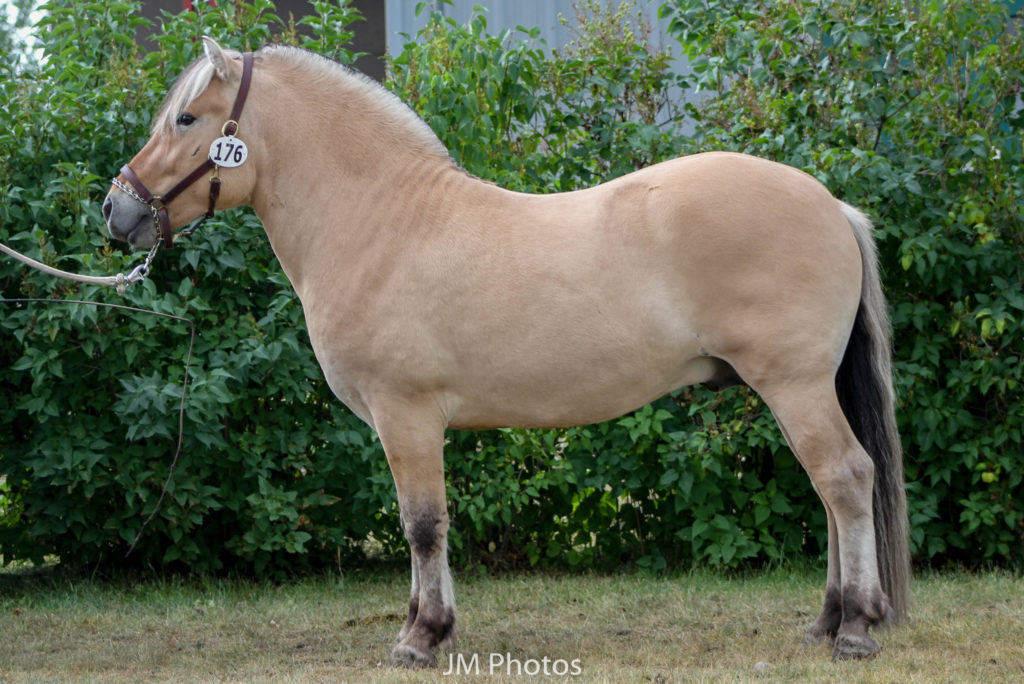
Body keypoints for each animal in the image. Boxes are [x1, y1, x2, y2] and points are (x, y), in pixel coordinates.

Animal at [103, 37, 911, 666]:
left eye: (186, 117)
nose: (117, 210)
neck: (382, 221)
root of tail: (832, 206)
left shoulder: (408, 417)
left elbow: (422, 524)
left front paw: (421, 638)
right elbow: (422, 526)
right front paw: (423, 624)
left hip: (796, 386)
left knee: (845, 480)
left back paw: (856, 629)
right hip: (796, 391)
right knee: (830, 491)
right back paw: (827, 621)